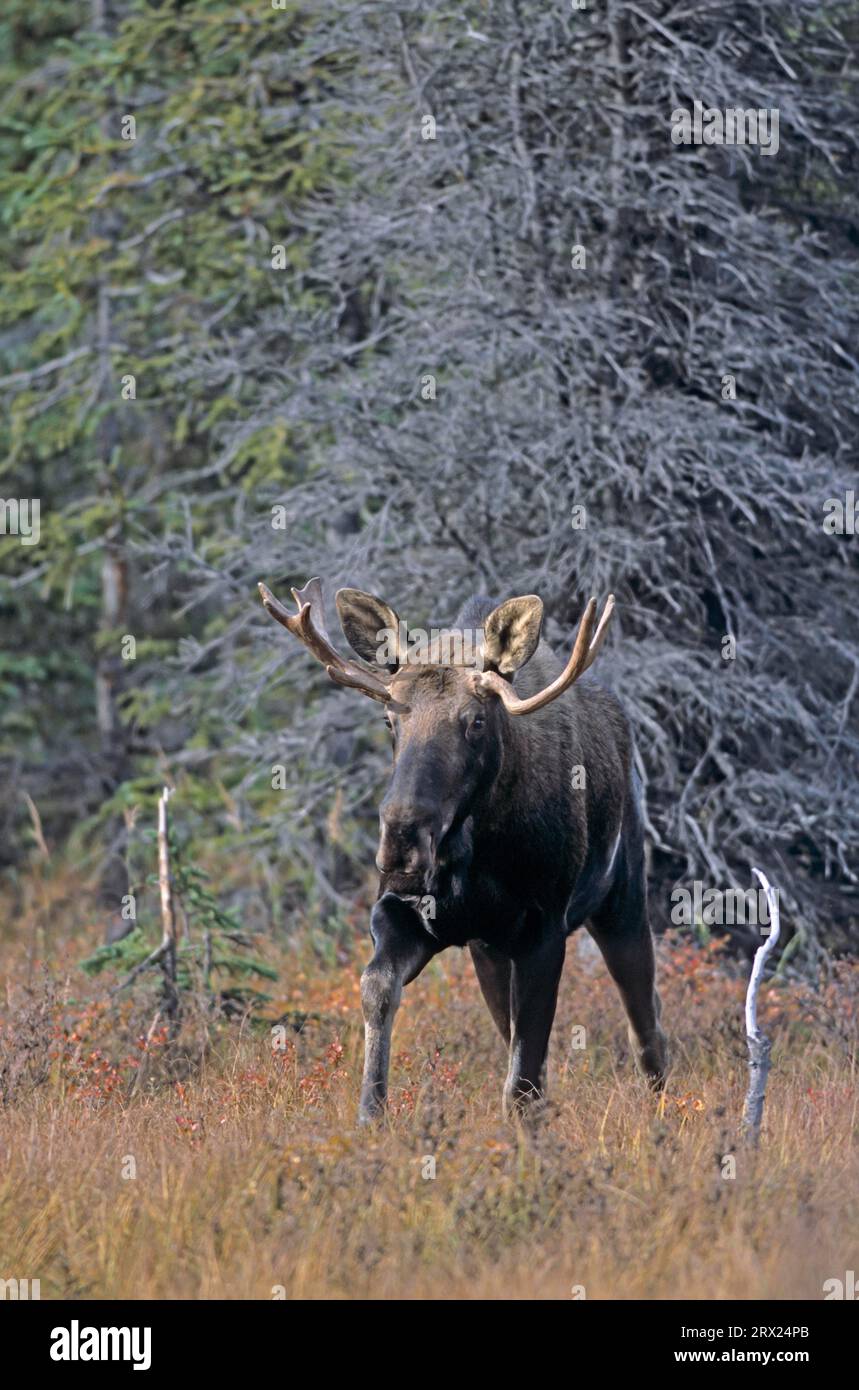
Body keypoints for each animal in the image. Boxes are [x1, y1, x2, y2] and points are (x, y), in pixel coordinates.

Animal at [259, 577, 668, 1123]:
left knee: (646, 1021)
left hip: (621, 899)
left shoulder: (544, 927)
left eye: (474, 721)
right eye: (389, 720)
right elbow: (376, 988)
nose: (403, 837)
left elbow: (524, 1068)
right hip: (488, 949)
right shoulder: (406, 911)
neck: (476, 860)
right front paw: (371, 1112)